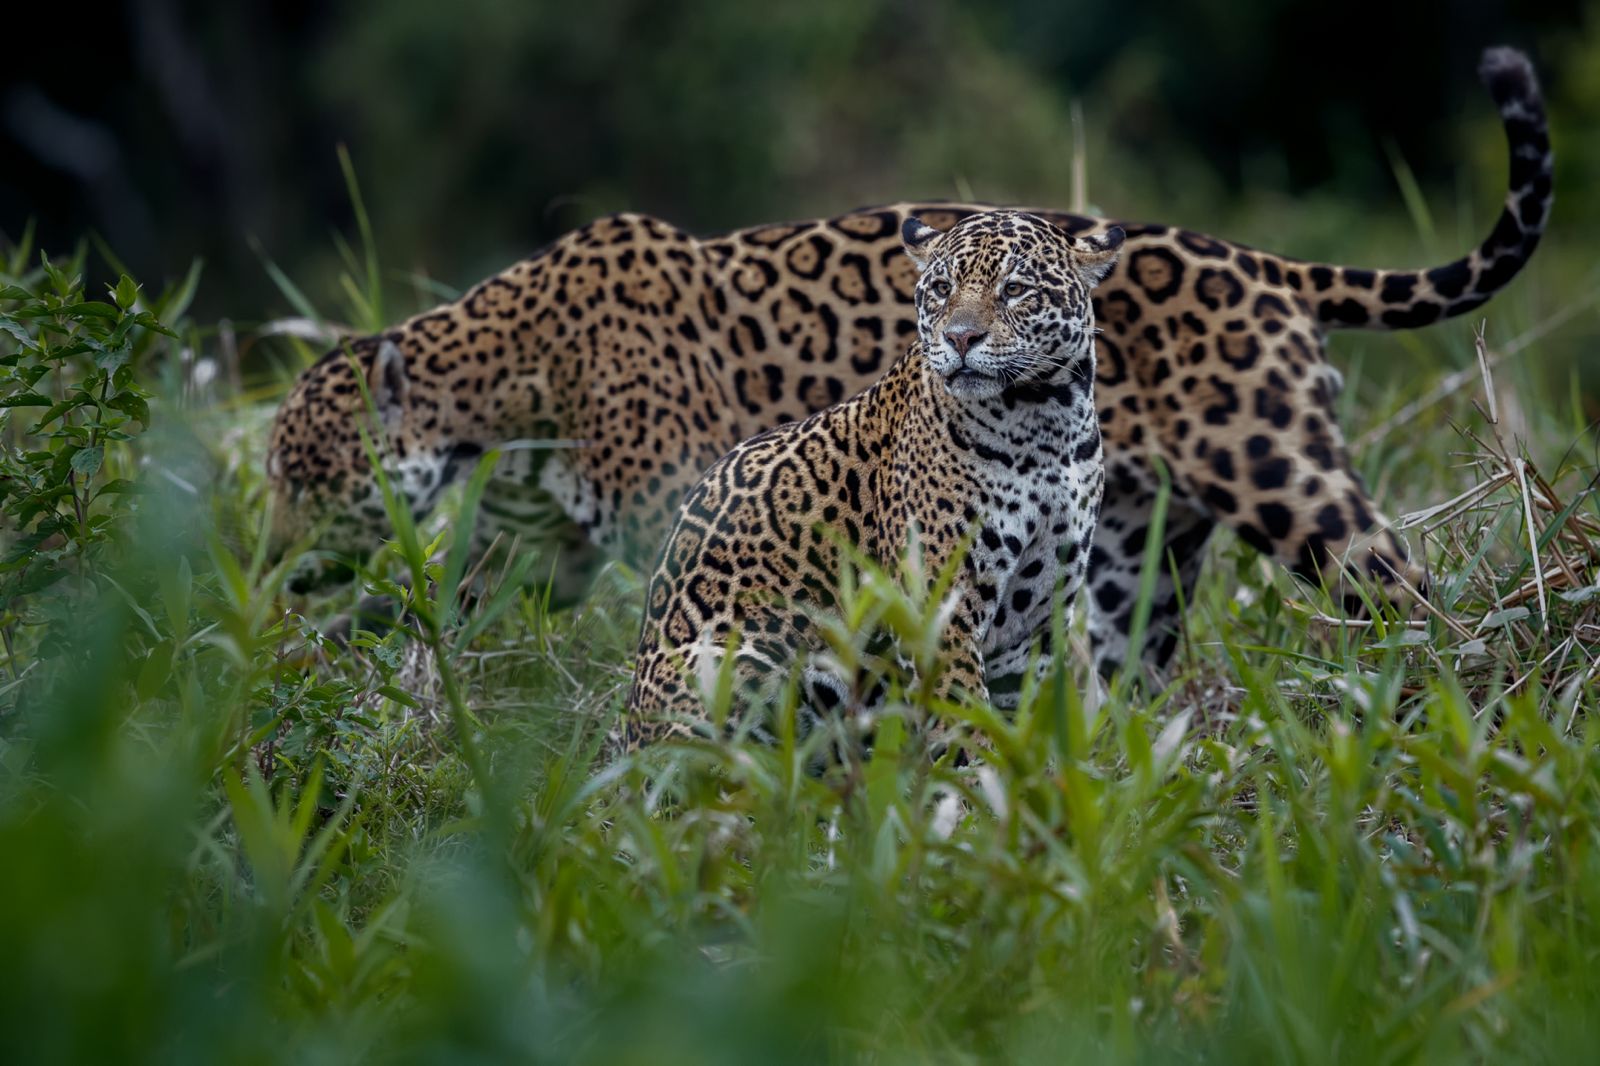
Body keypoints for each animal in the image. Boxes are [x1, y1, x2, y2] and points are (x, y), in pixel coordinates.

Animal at [265, 47, 1552, 675]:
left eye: (306, 477)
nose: (269, 558)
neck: (508, 390)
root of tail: (1260, 261)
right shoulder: (537, 545)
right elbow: (437, 610)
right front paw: (327, 665)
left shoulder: (672, 515)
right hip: (1132, 554)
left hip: (1285, 480)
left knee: (1412, 598)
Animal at [626, 210, 1121, 747]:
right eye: (942, 288)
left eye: (1014, 289)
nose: (960, 339)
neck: (1043, 426)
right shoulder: (939, 608)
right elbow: (964, 716)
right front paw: (971, 770)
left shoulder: (1036, 621)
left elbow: (1017, 722)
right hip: (730, 659)